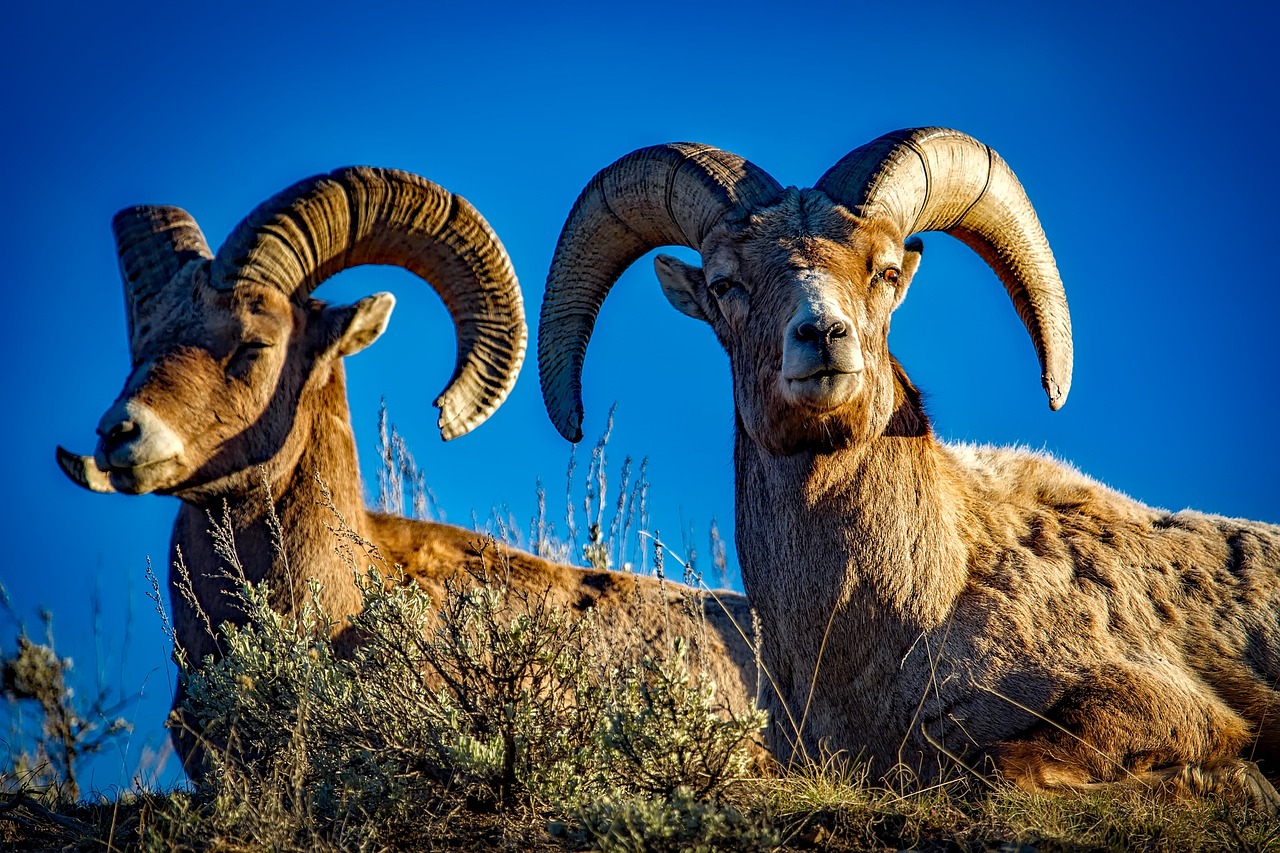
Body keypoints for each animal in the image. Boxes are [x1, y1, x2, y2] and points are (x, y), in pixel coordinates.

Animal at [536, 128, 1280, 807]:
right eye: (725, 284)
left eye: (886, 271)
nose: (822, 335)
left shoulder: (1157, 703)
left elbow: (1005, 769)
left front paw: (1227, 780)